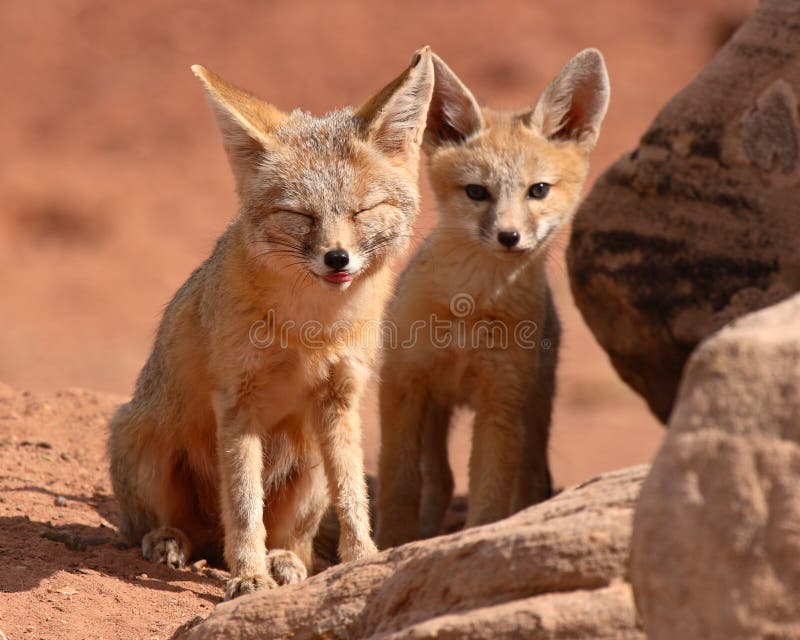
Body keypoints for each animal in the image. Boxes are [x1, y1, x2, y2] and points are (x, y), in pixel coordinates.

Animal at [108, 48, 435, 599]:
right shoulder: (237, 403)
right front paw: (247, 575)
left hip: (308, 475)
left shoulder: (340, 399)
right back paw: (169, 539)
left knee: (296, 538)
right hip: (147, 444)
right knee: (172, 528)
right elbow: (244, 506)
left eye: (363, 210)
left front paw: (363, 560)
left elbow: (354, 497)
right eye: (300, 215)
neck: (310, 329)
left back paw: (285, 560)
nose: (337, 258)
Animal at [375, 49, 610, 548]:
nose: (509, 236)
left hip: (533, 406)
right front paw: (390, 543)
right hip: (437, 409)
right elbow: (398, 479)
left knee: (529, 480)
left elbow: (489, 491)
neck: (471, 305)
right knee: (439, 478)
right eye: (476, 192)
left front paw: (476, 538)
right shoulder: (404, 383)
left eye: (537, 190)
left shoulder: (500, 398)